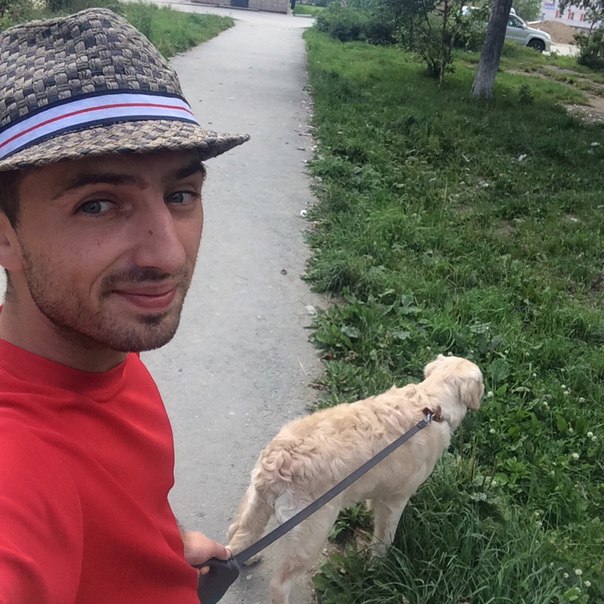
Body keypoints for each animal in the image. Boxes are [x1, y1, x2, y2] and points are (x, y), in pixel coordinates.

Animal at [227, 354, 484, 604]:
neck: (430, 404)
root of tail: (278, 461)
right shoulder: (397, 498)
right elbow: (384, 535)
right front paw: (379, 564)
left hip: (256, 503)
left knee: (236, 533)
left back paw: (246, 558)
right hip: (312, 531)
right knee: (279, 583)